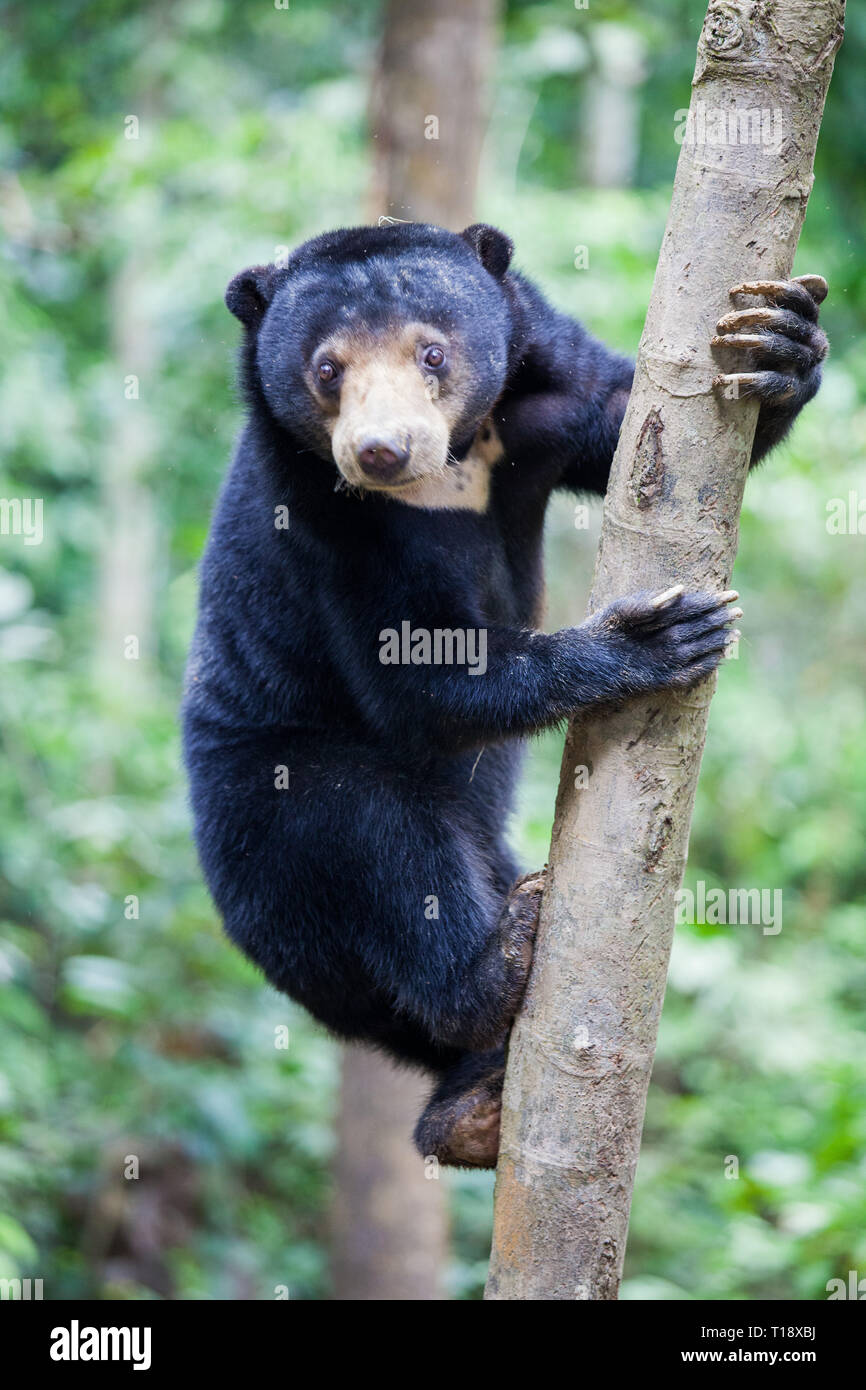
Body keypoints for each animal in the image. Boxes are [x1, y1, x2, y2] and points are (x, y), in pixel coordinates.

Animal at [182, 222, 828, 1168]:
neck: (455, 463)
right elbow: (418, 672)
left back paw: (469, 1109)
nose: (381, 451)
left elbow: (629, 421)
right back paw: (499, 960)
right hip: (274, 783)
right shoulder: (318, 511)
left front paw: (777, 338)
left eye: (433, 352)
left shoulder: (549, 393)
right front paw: (659, 636)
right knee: (379, 840)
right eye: (327, 368)